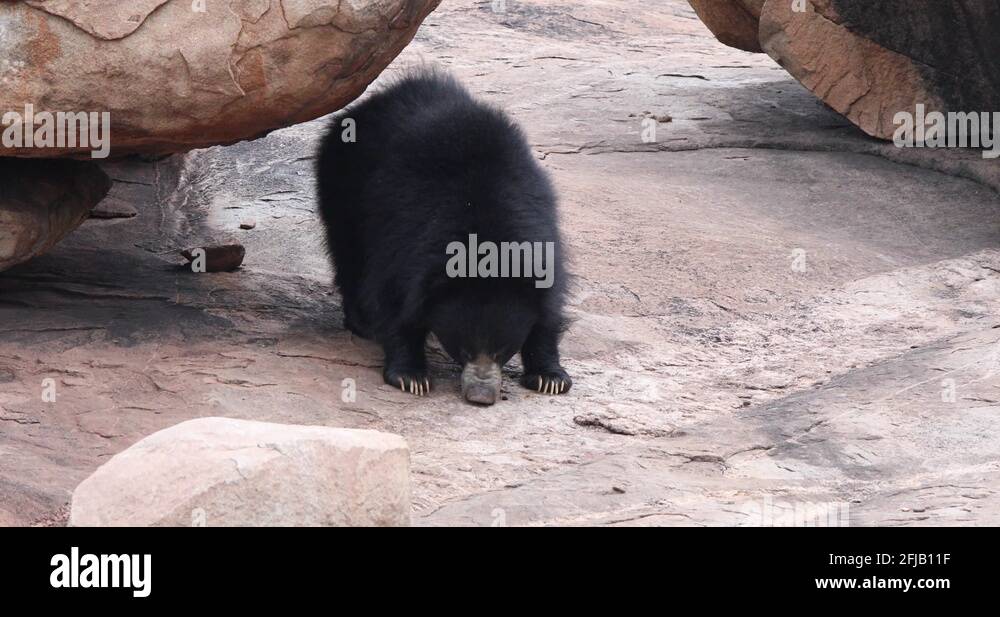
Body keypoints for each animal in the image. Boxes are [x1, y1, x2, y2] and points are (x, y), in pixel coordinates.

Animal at [316, 69, 571, 405]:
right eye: (463, 349)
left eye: (502, 350)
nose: (480, 396)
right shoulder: (403, 230)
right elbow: (393, 299)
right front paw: (411, 377)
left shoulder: (539, 226)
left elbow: (547, 309)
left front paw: (550, 378)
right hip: (342, 188)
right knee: (348, 254)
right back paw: (362, 323)